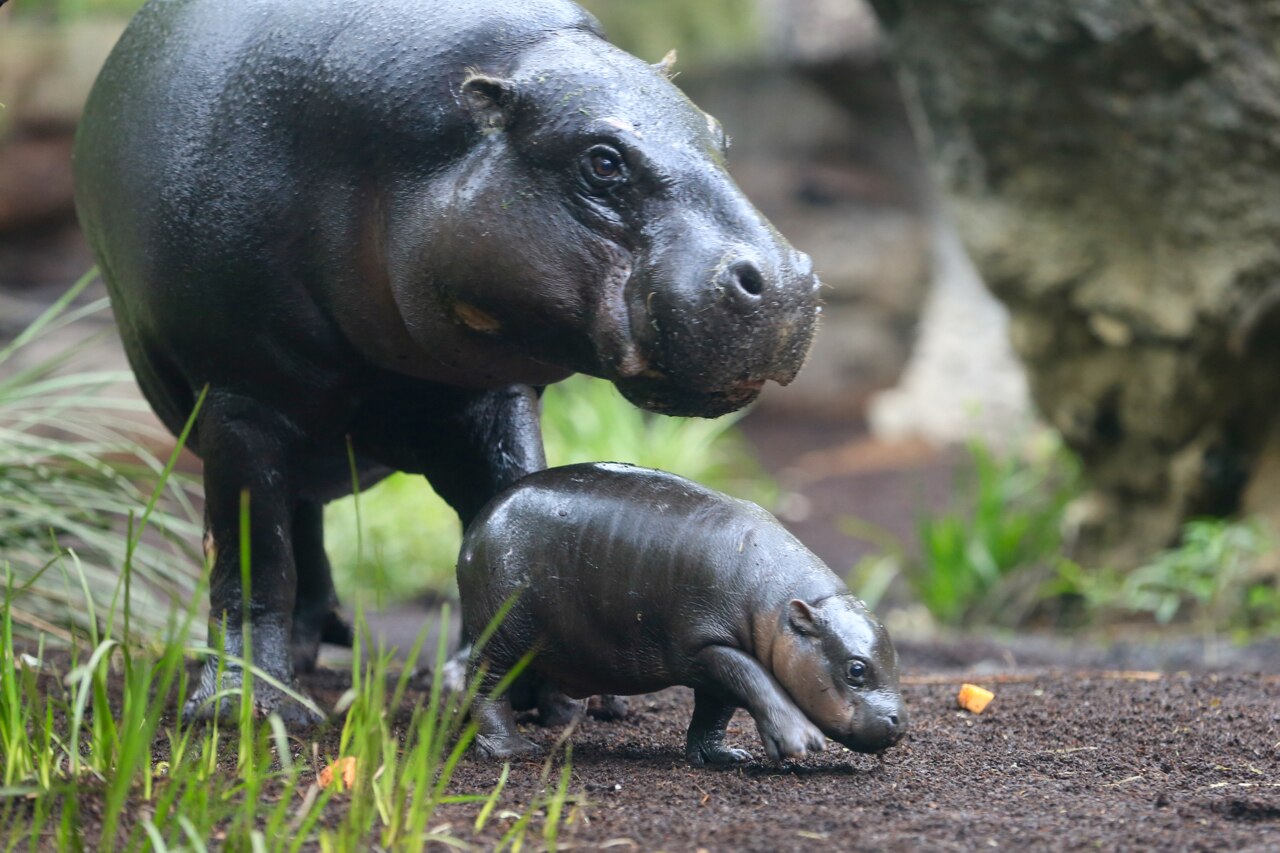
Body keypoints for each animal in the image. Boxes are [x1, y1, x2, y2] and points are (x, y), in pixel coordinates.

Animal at [73, 0, 820, 722]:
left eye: (720, 137)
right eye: (602, 160)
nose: (787, 280)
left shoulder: (492, 392)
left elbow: (509, 514)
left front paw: (549, 695)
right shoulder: (239, 392)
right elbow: (253, 557)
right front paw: (245, 709)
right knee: (291, 520)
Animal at [459, 463, 906, 764]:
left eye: (896, 658)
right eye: (856, 669)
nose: (900, 720)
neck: (777, 602)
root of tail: (480, 520)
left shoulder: (714, 662)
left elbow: (716, 710)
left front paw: (724, 756)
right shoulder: (709, 644)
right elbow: (756, 681)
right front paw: (801, 742)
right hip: (501, 636)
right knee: (486, 685)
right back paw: (513, 750)